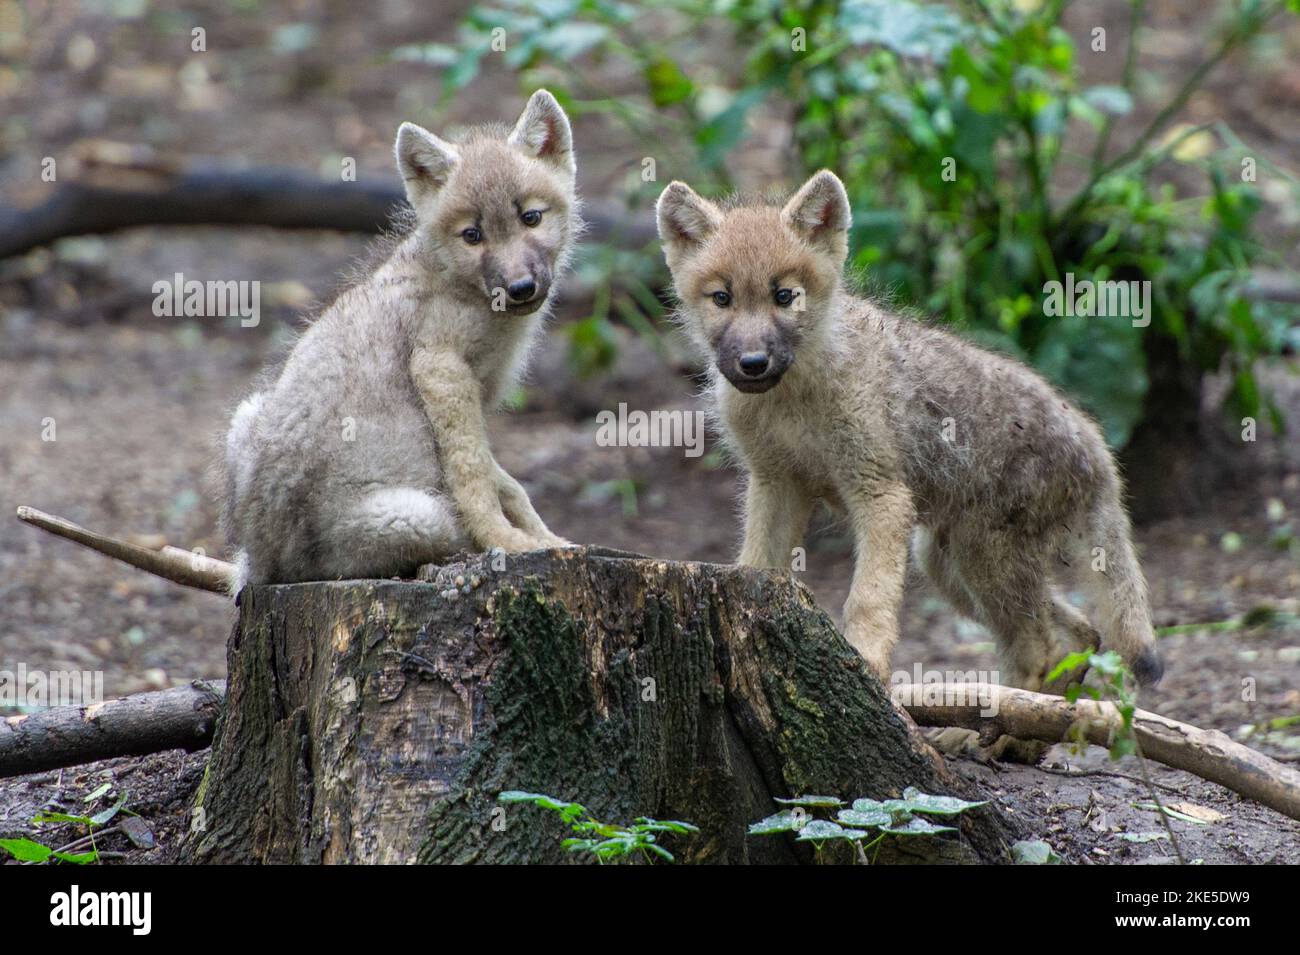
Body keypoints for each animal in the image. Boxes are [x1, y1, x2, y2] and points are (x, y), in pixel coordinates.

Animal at [220, 90, 579, 591]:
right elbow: (477, 477)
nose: (520, 288)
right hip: (421, 515)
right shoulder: (441, 369)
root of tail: (261, 565)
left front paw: (549, 540)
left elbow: (505, 481)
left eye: (531, 218)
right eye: (472, 235)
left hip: (246, 412)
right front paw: (508, 543)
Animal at [655, 170, 1163, 691]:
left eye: (784, 296)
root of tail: (1097, 449)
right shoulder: (776, 484)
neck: (793, 399)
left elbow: (867, 599)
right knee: (1076, 636)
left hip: (981, 560)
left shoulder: (881, 495)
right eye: (722, 298)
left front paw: (868, 666)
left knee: (1043, 650)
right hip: (945, 563)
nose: (753, 363)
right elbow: (754, 565)